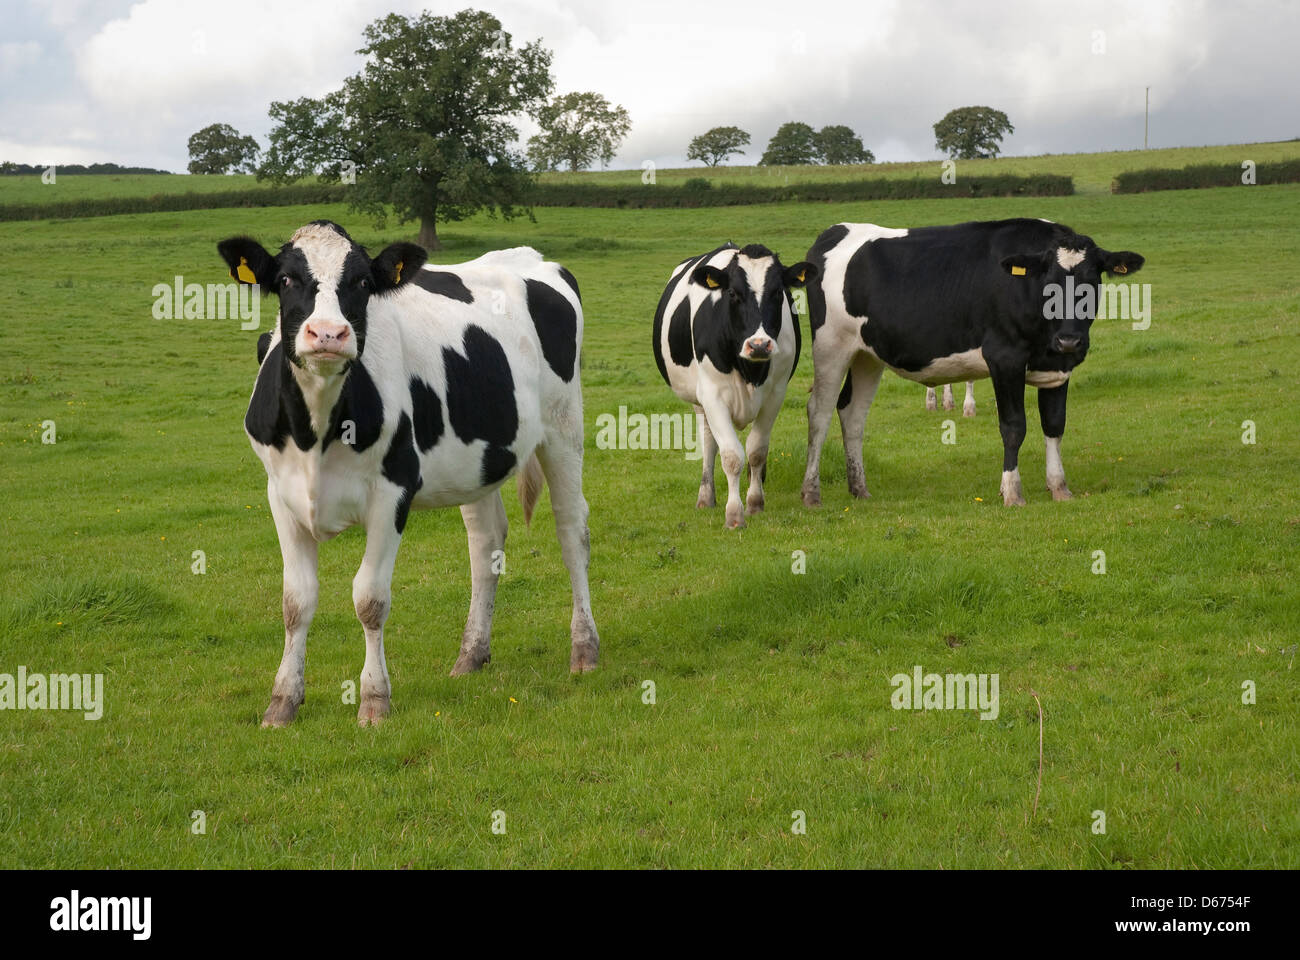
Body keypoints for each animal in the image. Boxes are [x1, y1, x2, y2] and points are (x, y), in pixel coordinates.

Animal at [217, 220, 599, 727]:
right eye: (285, 280)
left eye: (362, 282)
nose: (328, 333)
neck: (315, 429)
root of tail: (533, 258)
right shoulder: (281, 494)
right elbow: (296, 602)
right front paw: (282, 702)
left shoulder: (392, 491)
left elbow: (370, 598)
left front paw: (374, 699)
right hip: (476, 458)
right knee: (486, 542)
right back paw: (471, 654)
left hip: (563, 427)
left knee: (572, 530)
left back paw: (584, 648)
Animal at [652, 243, 818, 528]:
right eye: (732, 293)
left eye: (778, 292)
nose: (759, 345)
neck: (749, 369)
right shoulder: (712, 395)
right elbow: (731, 455)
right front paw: (734, 514)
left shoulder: (775, 394)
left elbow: (756, 451)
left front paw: (754, 502)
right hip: (699, 400)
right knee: (708, 443)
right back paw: (706, 496)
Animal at [800, 219, 1144, 507]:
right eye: (1049, 283)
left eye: (1092, 280)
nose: (1069, 339)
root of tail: (835, 230)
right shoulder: (1004, 358)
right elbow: (1013, 427)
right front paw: (1012, 493)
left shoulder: (1058, 366)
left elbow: (1055, 424)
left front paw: (1059, 487)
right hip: (831, 347)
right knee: (819, 413)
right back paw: (811, 492)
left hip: (867, 356)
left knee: (853, 414)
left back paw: (859, 489)